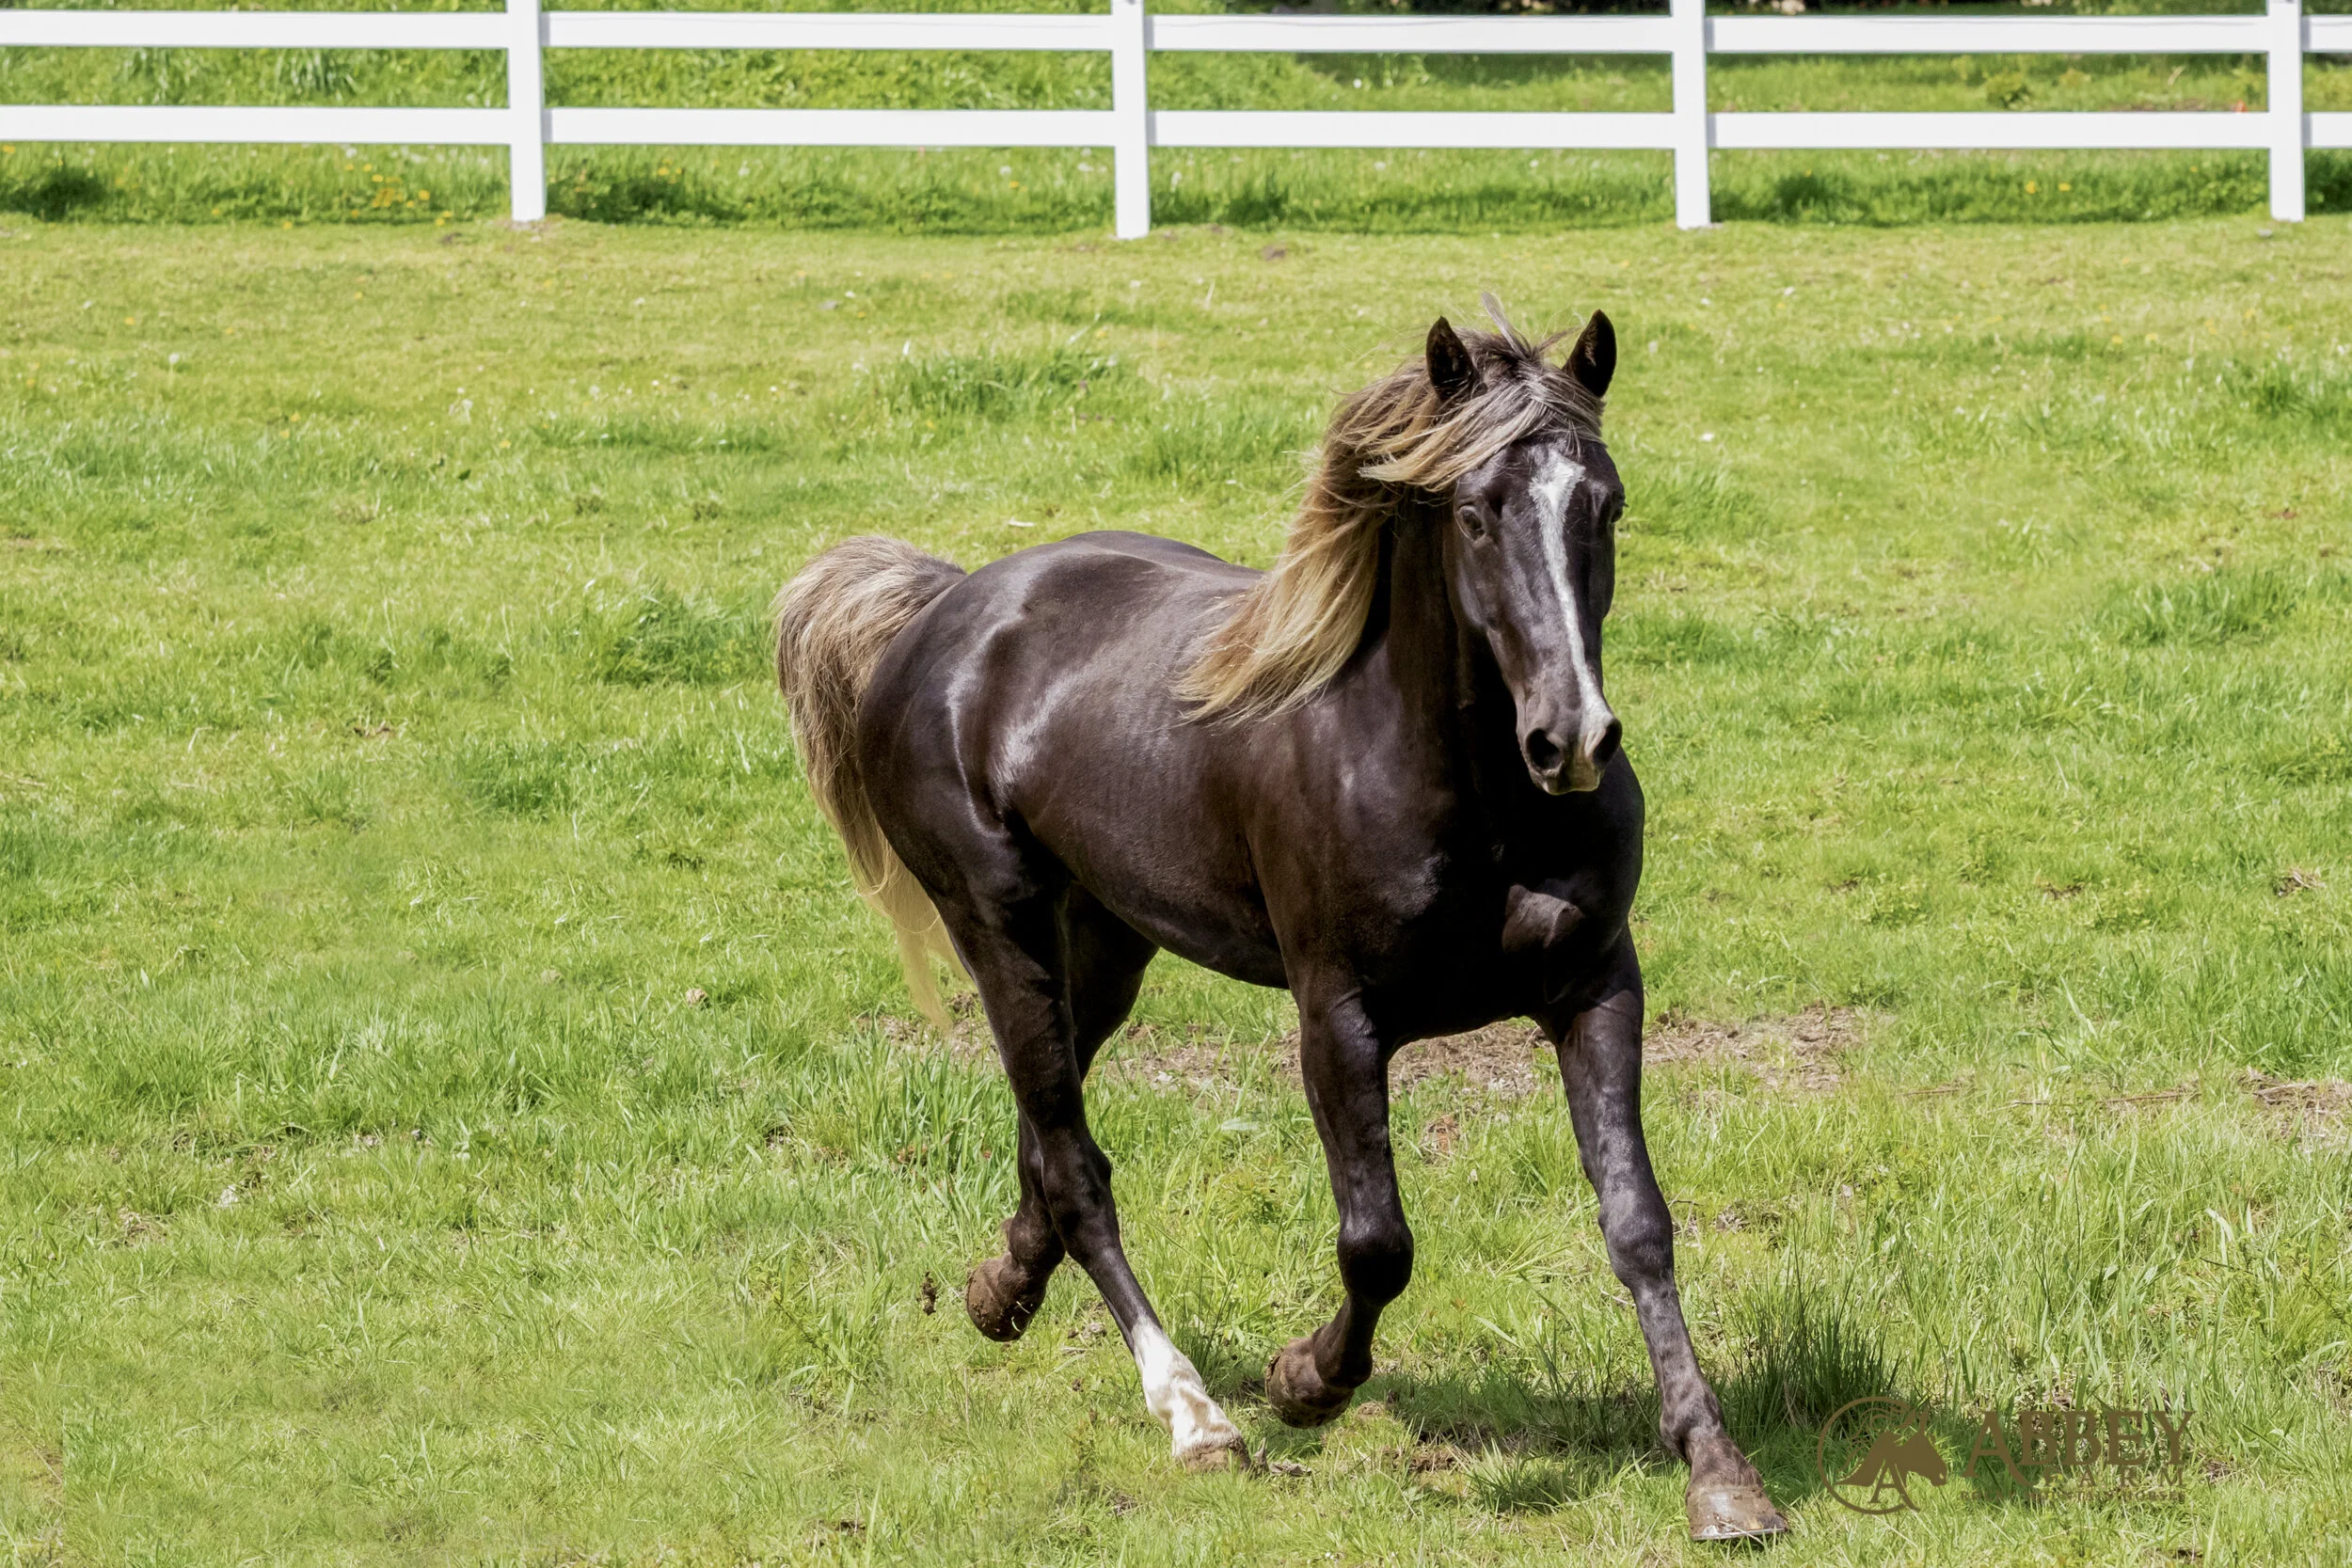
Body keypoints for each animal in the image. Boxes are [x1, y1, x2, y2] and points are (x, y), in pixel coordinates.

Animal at [772, 300, 1787, 1542]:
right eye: (1474, 511)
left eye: (1606, 503)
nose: (1572, 739)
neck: (1467, 796)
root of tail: (945, 607)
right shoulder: (1336, 1015)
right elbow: (1378, 1240)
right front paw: (1306, 1380)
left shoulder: (1597, 987)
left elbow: (1638, 1220)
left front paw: (1719, 1470)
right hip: (995, 921)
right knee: (1076, 1165)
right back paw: (1193, 1412)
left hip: (1104, 943)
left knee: (1043, 1136)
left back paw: (998, 1293)